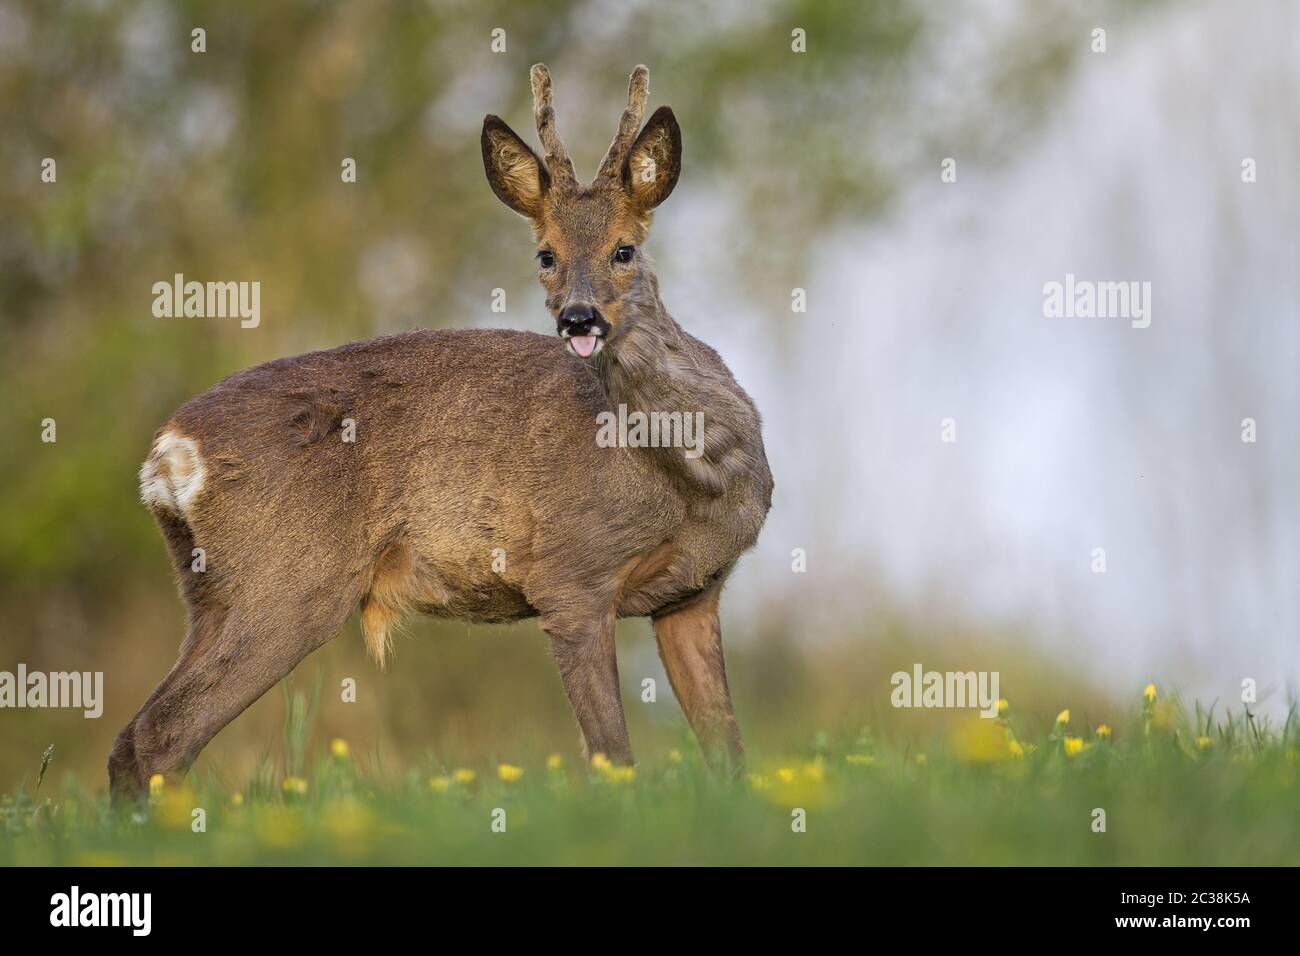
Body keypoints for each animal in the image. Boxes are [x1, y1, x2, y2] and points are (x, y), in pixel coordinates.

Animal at [109, 64, 773, 800]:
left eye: (624, 250)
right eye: (545, 254)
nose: (577, 318)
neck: (693, 478)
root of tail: (170, 453)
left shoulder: (694, 594)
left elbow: (729, 751)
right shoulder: (571, 576)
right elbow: (612, 754)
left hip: (209, 593)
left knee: (139, 734)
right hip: (286, 582)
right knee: (160, 733)